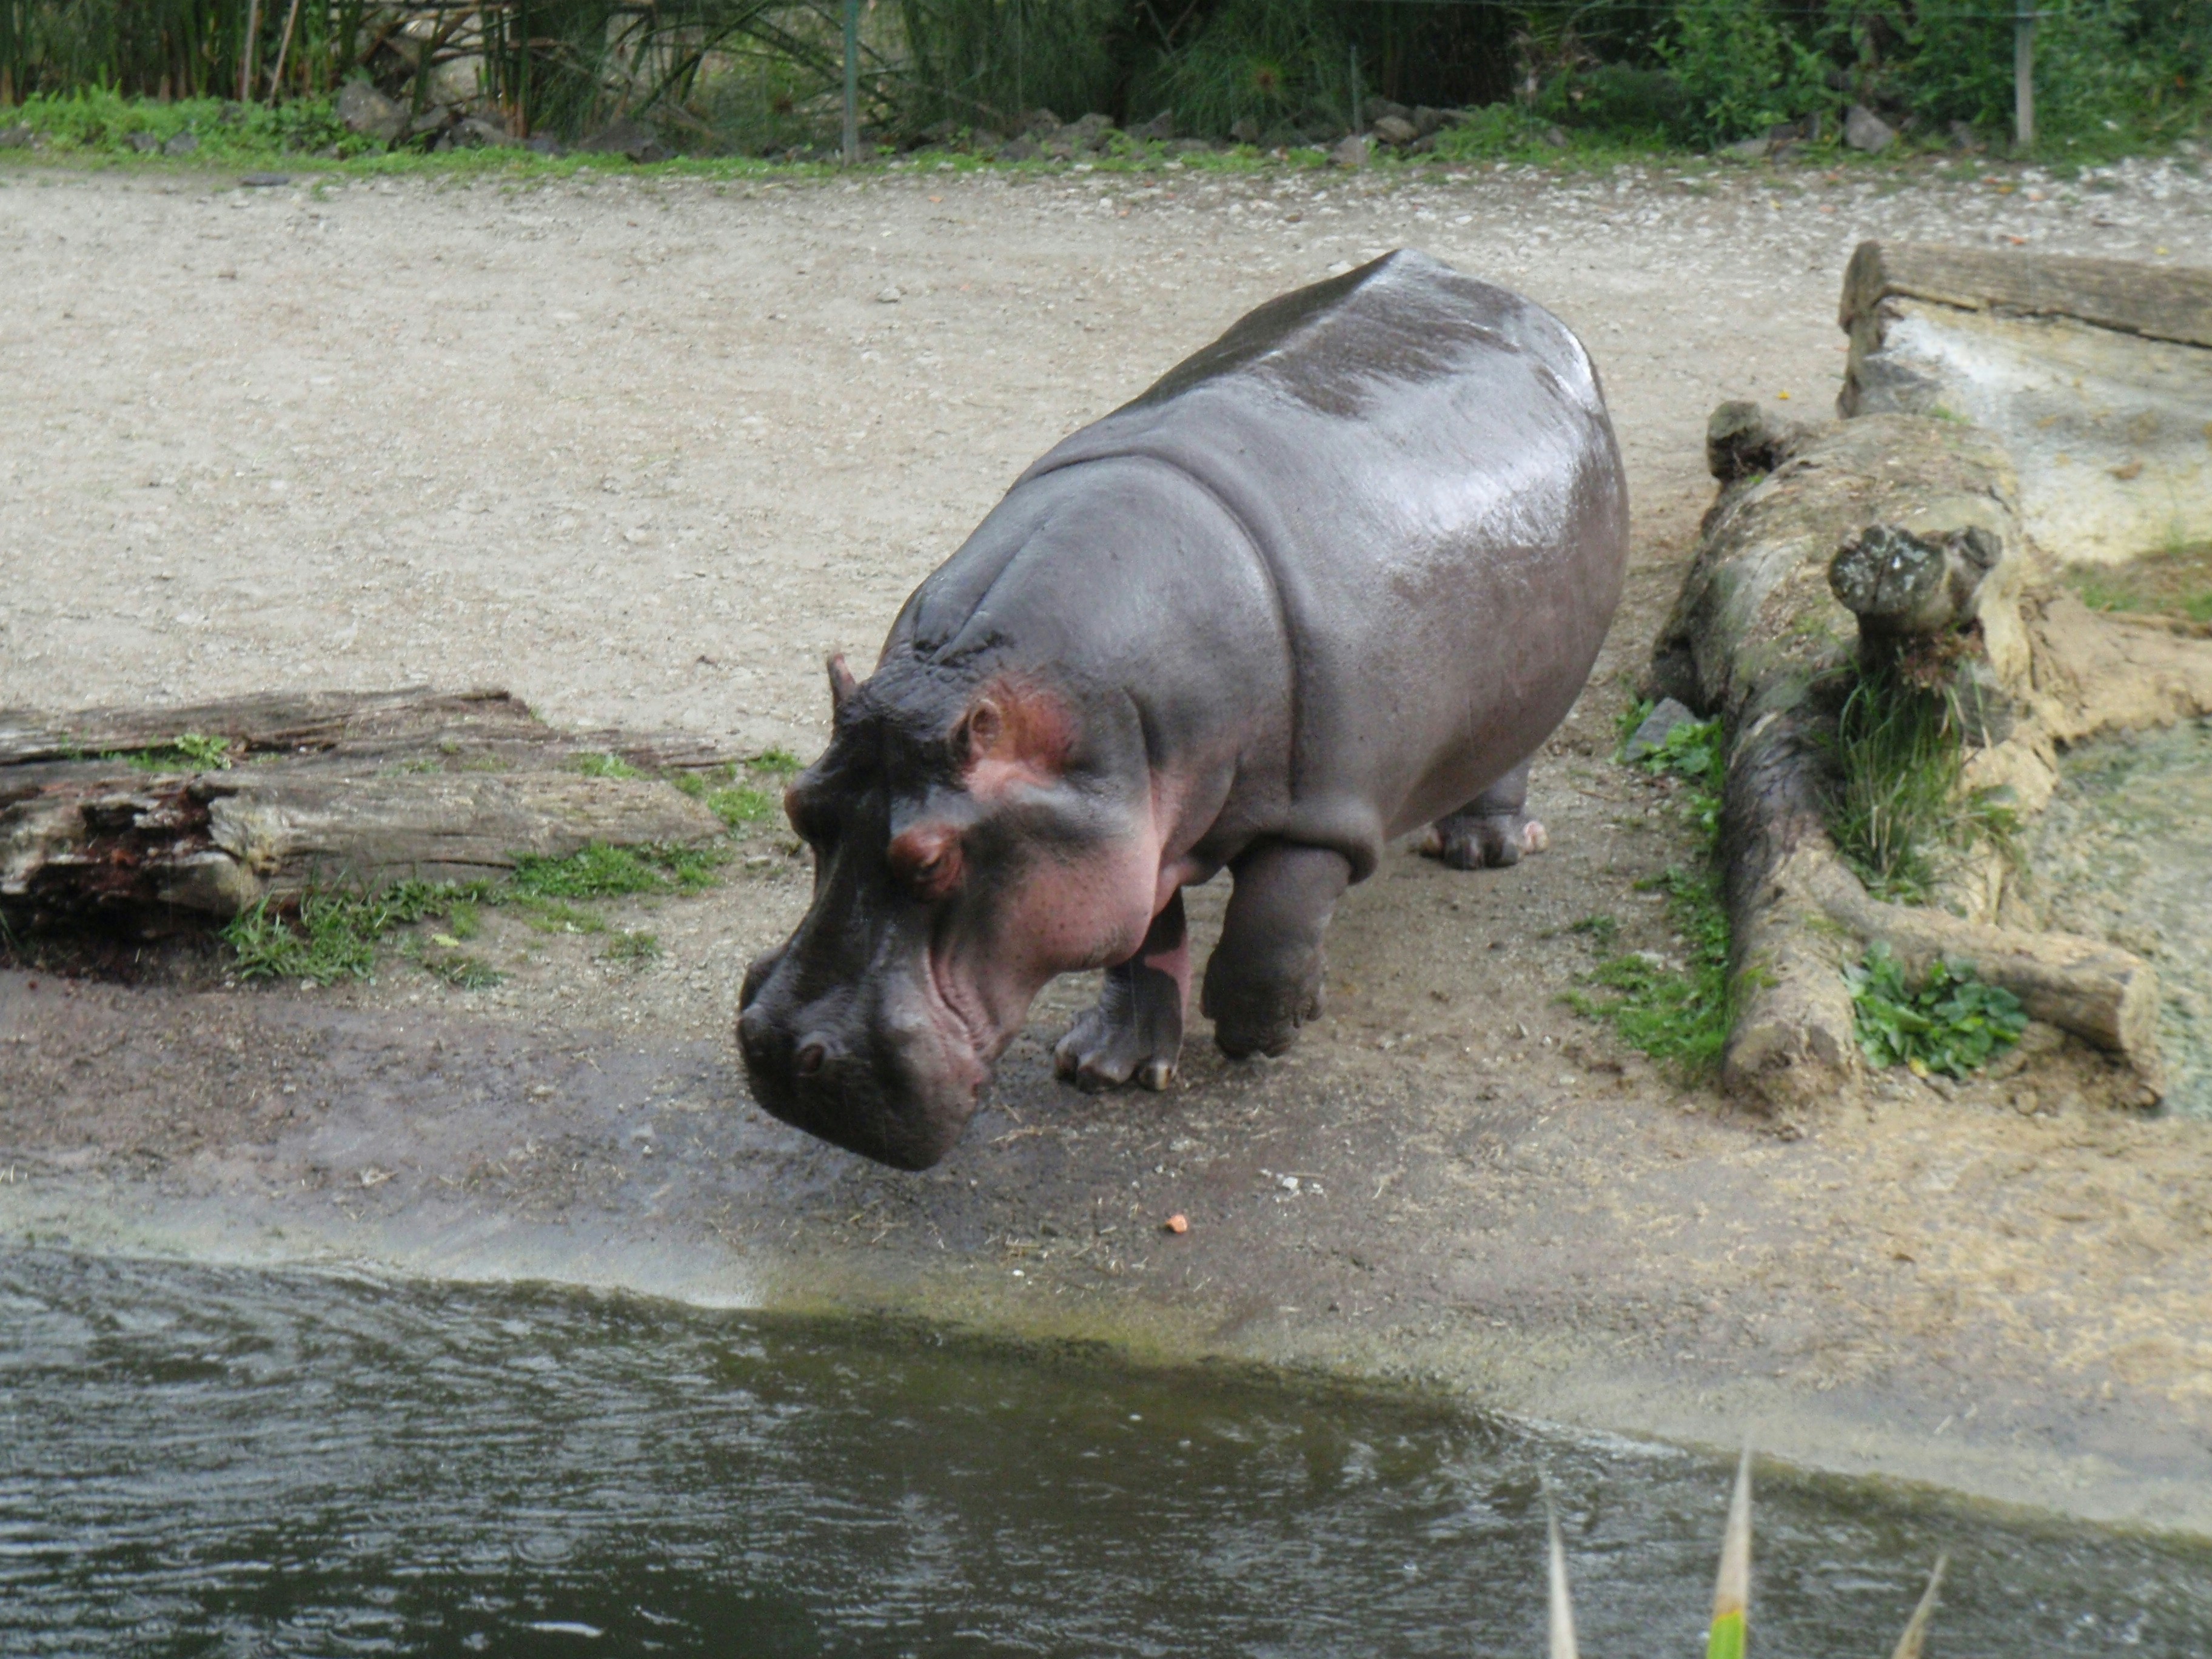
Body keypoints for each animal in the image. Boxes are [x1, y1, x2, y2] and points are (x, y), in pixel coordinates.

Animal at [738, 250, 1628, 1169]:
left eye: (932, 860)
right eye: (799, 809)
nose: (783, 1050)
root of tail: (1475, 279)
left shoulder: (1320, 813)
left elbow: (1268, 931)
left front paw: (1268, 1031)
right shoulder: (1124, 824)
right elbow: (1142, 942)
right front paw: (1106, 1068)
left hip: (1538, 680)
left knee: (1509, 755)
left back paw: (1483, 850)